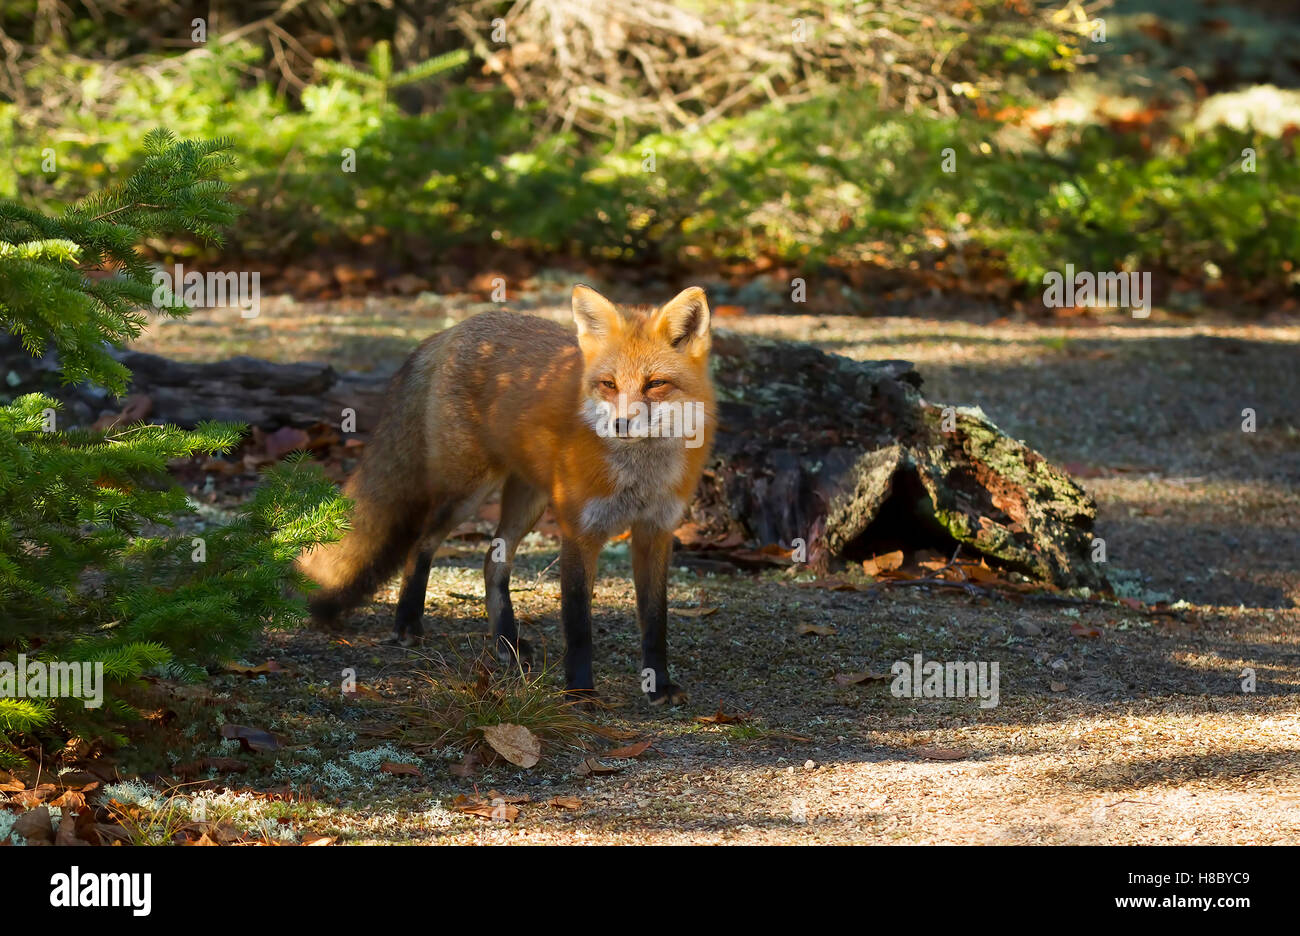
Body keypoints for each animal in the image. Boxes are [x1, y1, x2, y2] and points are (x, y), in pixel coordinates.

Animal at [297, 284, 716, 705]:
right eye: (609, 384)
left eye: (656, 384)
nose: (620, 424)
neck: (639, 476)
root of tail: (452, 330)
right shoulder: (579, 530)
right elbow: (578, 624)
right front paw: (580, 691)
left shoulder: (655, 532)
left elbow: (656, 621)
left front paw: (658, 684)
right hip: (468, 491)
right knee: (421, 543)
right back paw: (408, 622)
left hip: (528, 500)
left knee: (491, 561)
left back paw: (506, 643)